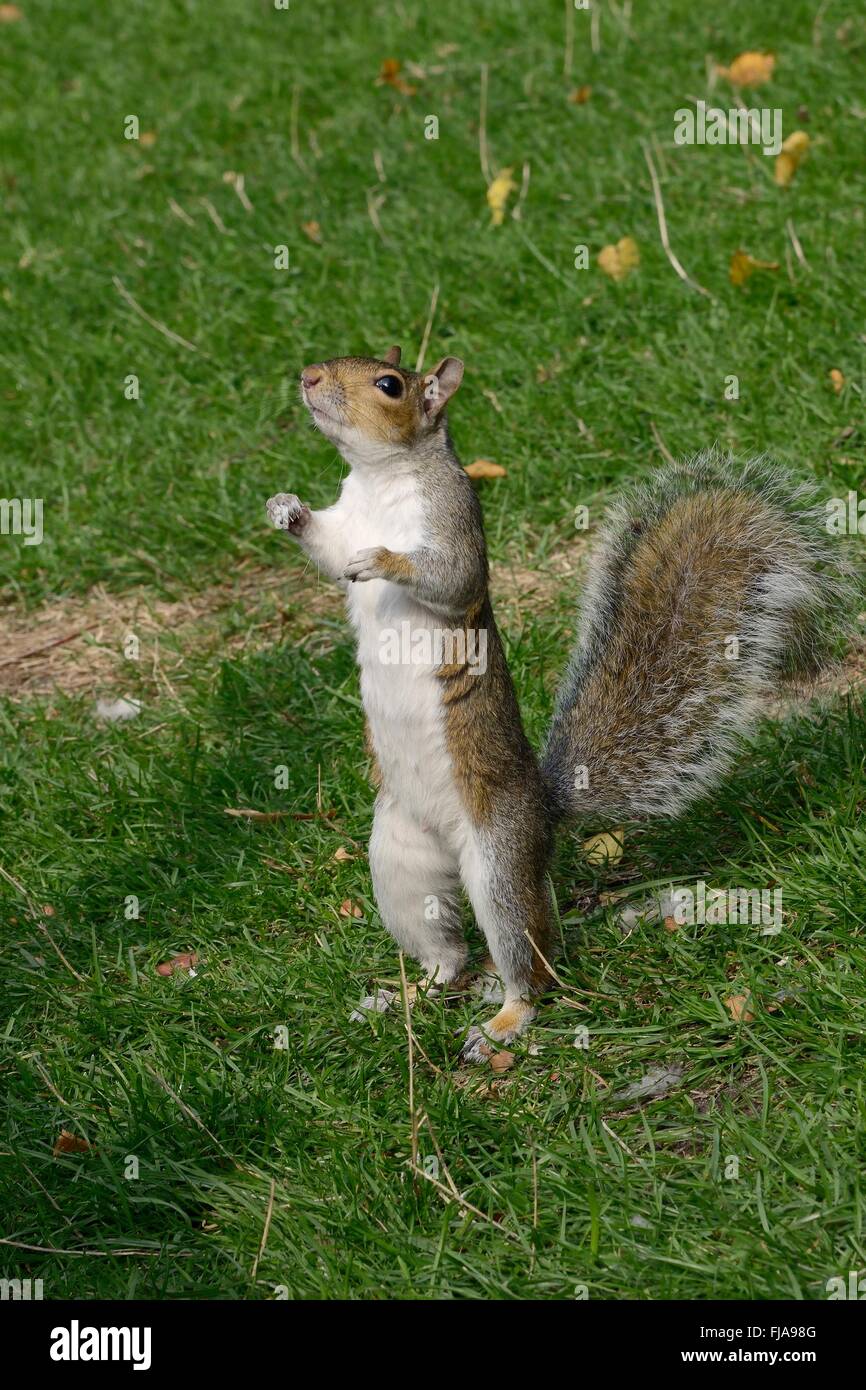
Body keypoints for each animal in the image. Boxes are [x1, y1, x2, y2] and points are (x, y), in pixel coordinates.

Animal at [266, 346, 844, 1062]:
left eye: (389, 384)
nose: (309, 378)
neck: (381, 479)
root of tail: (542, 811)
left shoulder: (455, 523)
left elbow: (449, 576)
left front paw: (384, 558)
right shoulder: (343, 520)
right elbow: (326, 547)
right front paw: (286, 507)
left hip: (498, 864)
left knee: (532, 963)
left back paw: (505, 1022)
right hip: (399, 862)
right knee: (447, 955)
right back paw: (410, 993)